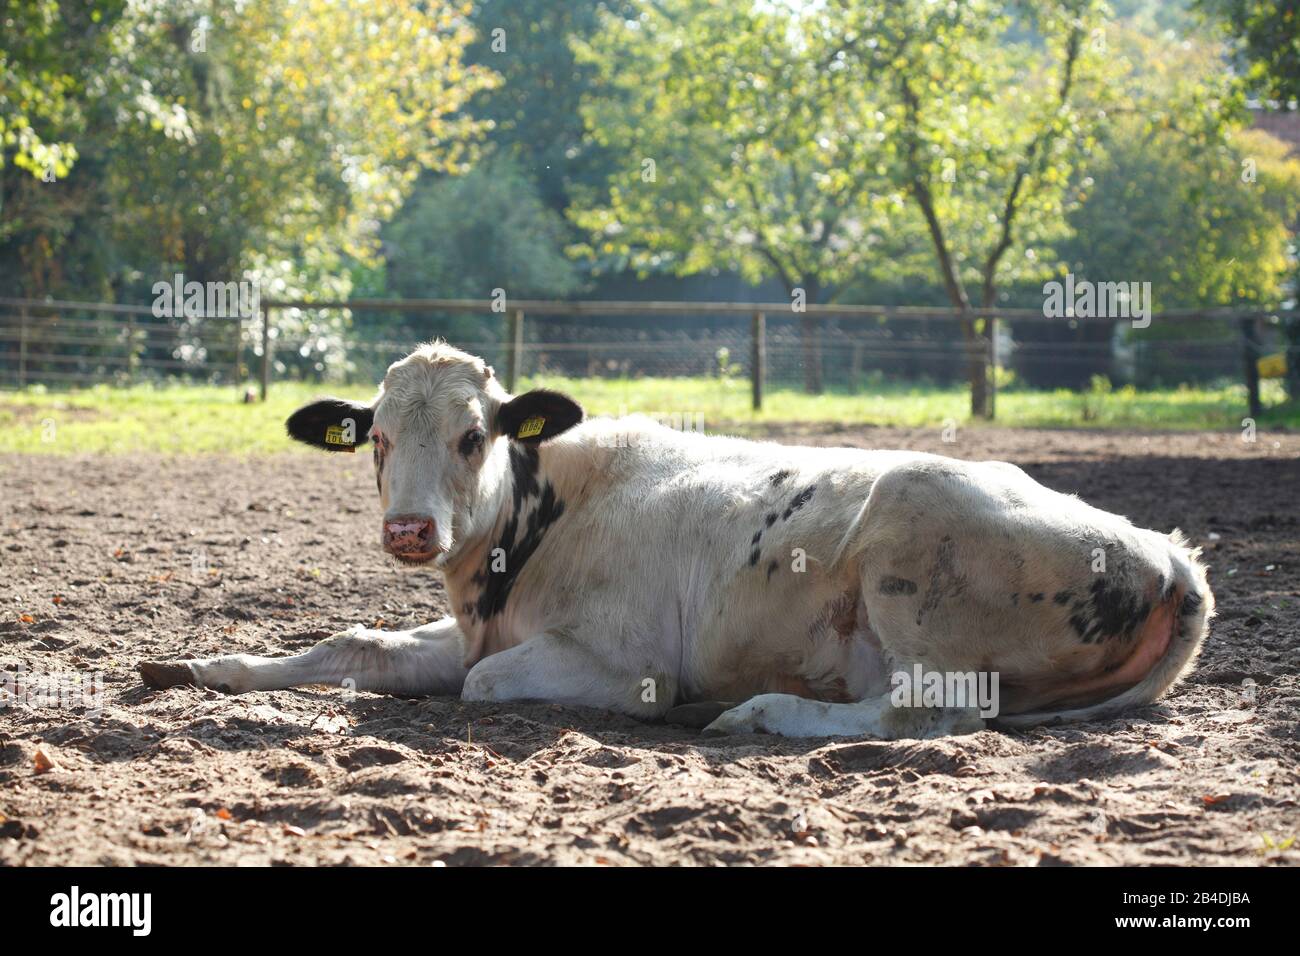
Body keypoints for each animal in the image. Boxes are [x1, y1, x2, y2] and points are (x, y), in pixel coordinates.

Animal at [139, 341, 1214, 739]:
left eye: (474, 435)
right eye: (377, 438)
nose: (410, 529)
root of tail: (1166, 551)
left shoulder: (617, 656)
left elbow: (487, 684)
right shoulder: (475, 628)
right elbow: (356, 644)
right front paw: (202, 667)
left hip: (918, 558)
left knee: (933, 710)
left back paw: (758, 713)